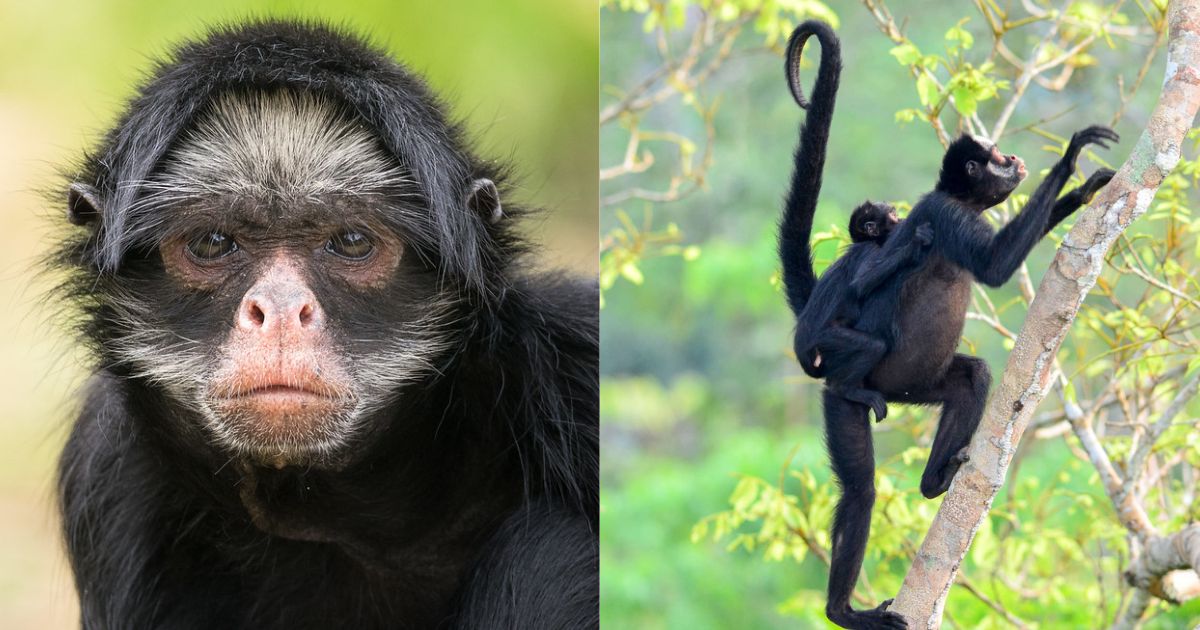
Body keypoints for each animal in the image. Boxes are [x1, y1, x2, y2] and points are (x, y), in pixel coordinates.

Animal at [51, 21, 597, 629]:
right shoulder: (106, 468)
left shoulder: (570, 361)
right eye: (212, 242)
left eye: (351, 241)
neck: (331, 511)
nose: (281, 307)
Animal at [776, 20, 1117, 630]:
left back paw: (933, 482)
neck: (961, 201)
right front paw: (1072, 159)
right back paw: (842, 609)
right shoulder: (945, 216)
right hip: (847, 388)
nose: (1013, 158)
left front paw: (1083, 189)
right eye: (997, 158)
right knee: (860, 489)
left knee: (972, 376)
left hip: (912, 385)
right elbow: (995, 267)